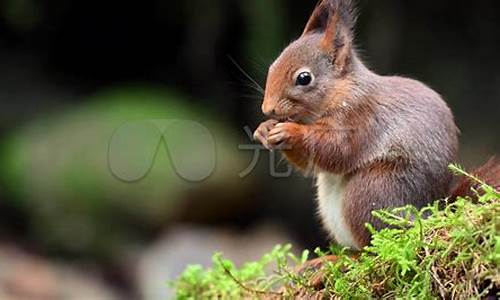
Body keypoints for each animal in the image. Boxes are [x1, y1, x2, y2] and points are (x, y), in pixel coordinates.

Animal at [254, 0, 500, 250]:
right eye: (273, 66)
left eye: (304, 78)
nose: (268, 109)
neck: (340, 92)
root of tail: (428, 212)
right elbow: (310, 164)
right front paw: (264, 129)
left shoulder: (362, 117)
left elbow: (337, 150)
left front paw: (290, 131)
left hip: (372, 189)